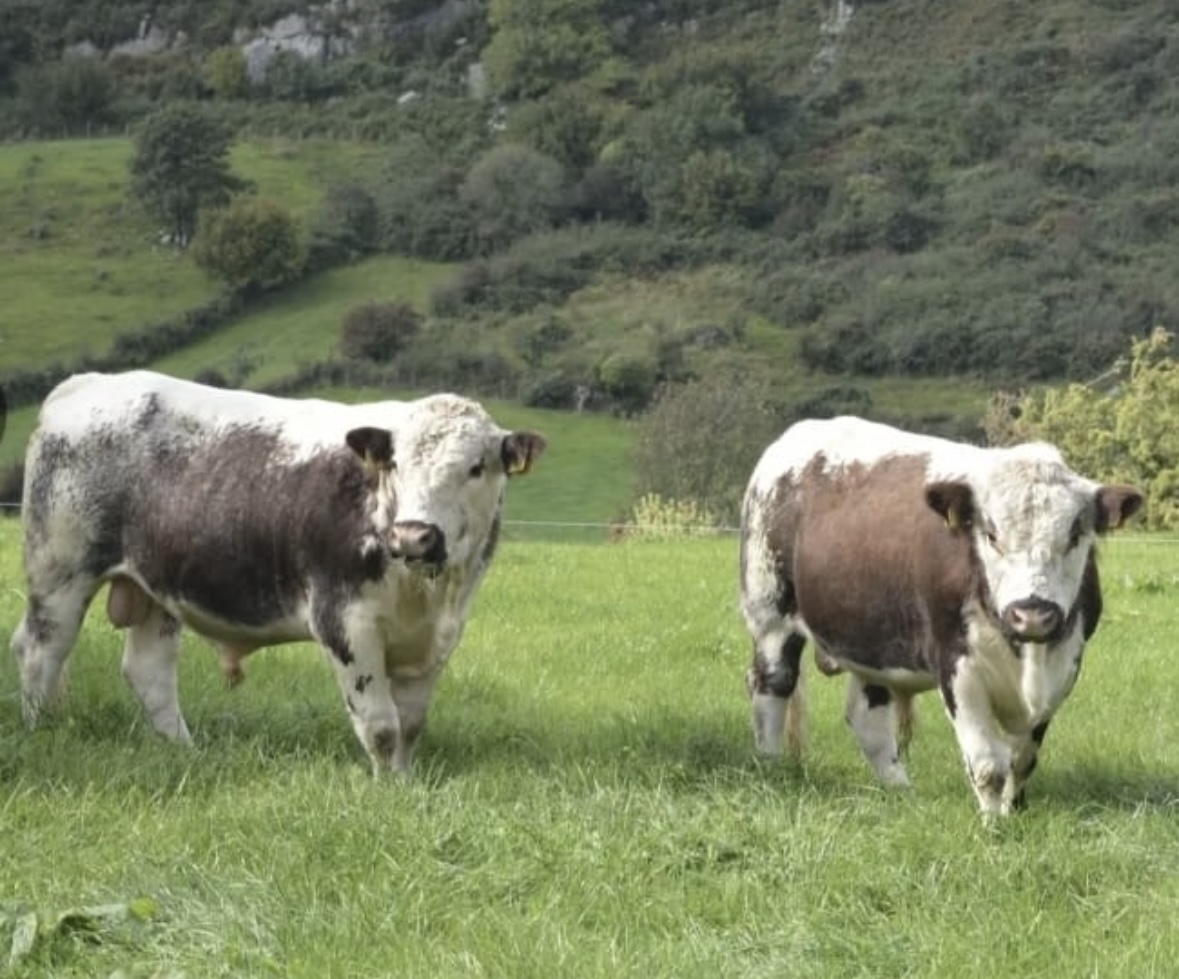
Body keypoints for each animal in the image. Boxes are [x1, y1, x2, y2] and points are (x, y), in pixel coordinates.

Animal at [10, 371, 546, 777]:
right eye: (394, 462)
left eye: (477, 467)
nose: (415, 536)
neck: (422, 593)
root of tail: (89, 383)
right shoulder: (344, 622)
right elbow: (381, 725)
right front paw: (384, 789)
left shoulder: (438, 636)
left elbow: (410, 724)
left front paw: (404, 781)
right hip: (61, 571)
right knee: (41, 651)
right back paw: (37, 731)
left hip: (156, 589)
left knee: (148, 671)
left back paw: (184, 750)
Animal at [739, 416, 1143, 816]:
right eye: (991, 534)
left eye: (1075, 536)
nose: (1032, 615)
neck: (1027, 656)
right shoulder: (956, 666)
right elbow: (988, 764)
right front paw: (993, 823)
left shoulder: (1063, 669)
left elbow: (1022, 759)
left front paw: (1014, 810)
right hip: (771, 616)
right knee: (772, 685)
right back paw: (773, 768)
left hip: (870, 641)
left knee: (868, 719)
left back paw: (900, 790)